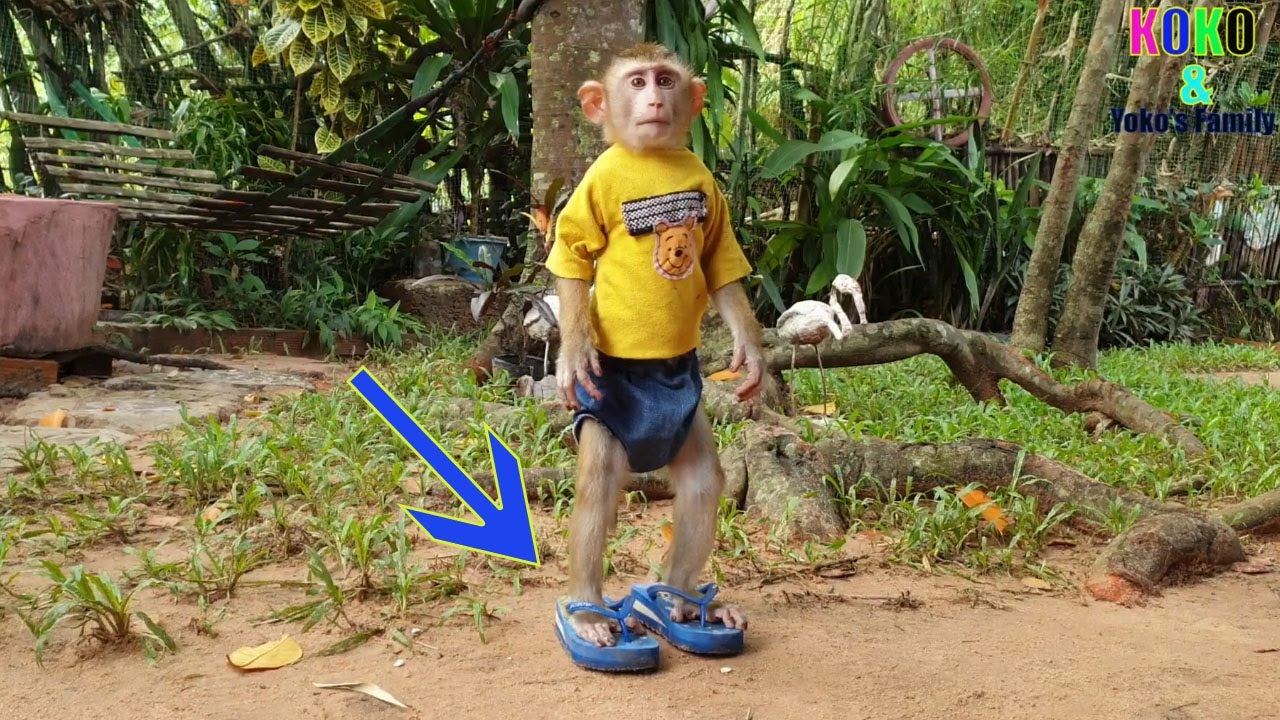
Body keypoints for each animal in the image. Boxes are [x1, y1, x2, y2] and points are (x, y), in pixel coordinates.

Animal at [545, 43, 766, 670]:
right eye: (637, 81)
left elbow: (719, 264)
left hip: (686, 421)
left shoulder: (709, 193)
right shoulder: (593, 184)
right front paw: (574, 351)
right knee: (599, 482)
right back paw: (591, 616)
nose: (653, 102)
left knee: (702, 482)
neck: (654, 162)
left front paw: (751, 353)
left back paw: (676, 603)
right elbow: (574, 261)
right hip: (606, 419)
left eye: (665, 81)